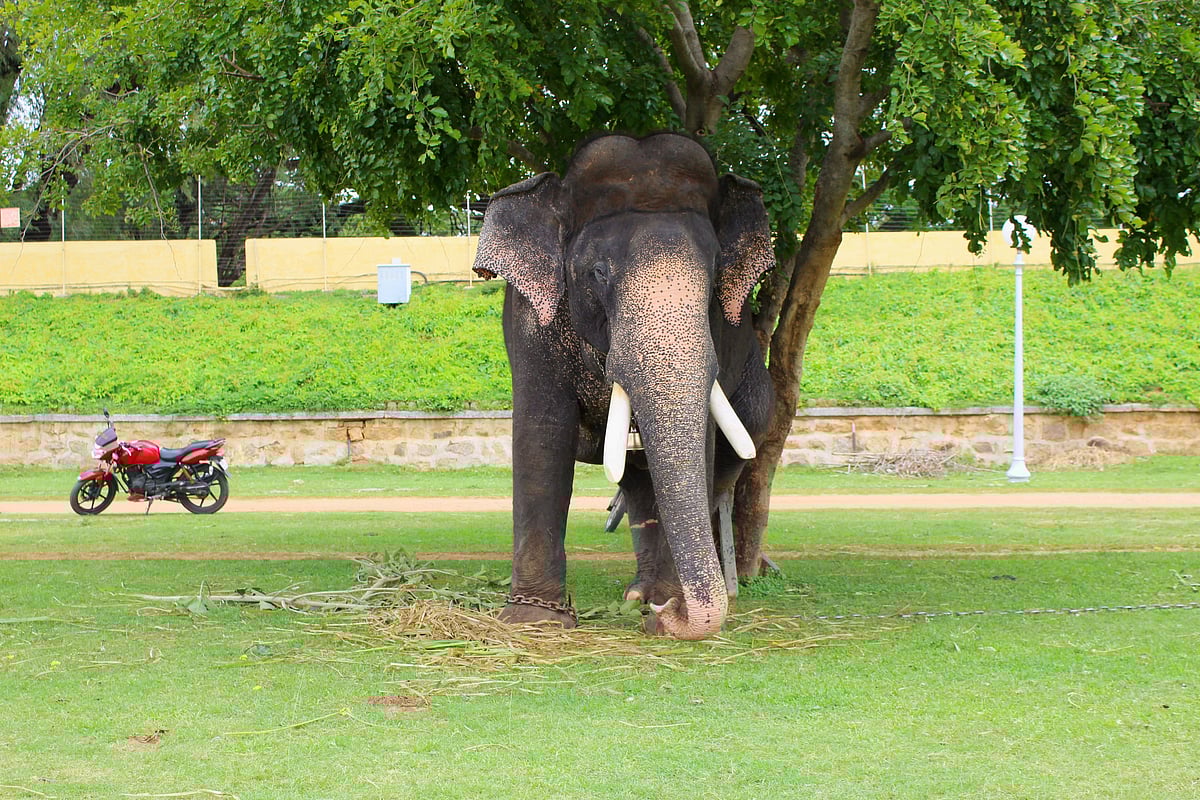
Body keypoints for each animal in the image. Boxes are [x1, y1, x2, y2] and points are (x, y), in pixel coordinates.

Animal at [471, 132, 775, 640]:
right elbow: (541, 437)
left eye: (716, 276)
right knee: (636, 481)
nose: (669, 614)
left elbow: (703, 445)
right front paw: (534, 622)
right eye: (599, 272)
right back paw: (640, 596)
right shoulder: (531, 323)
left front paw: (665, 611)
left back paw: (663, 594)